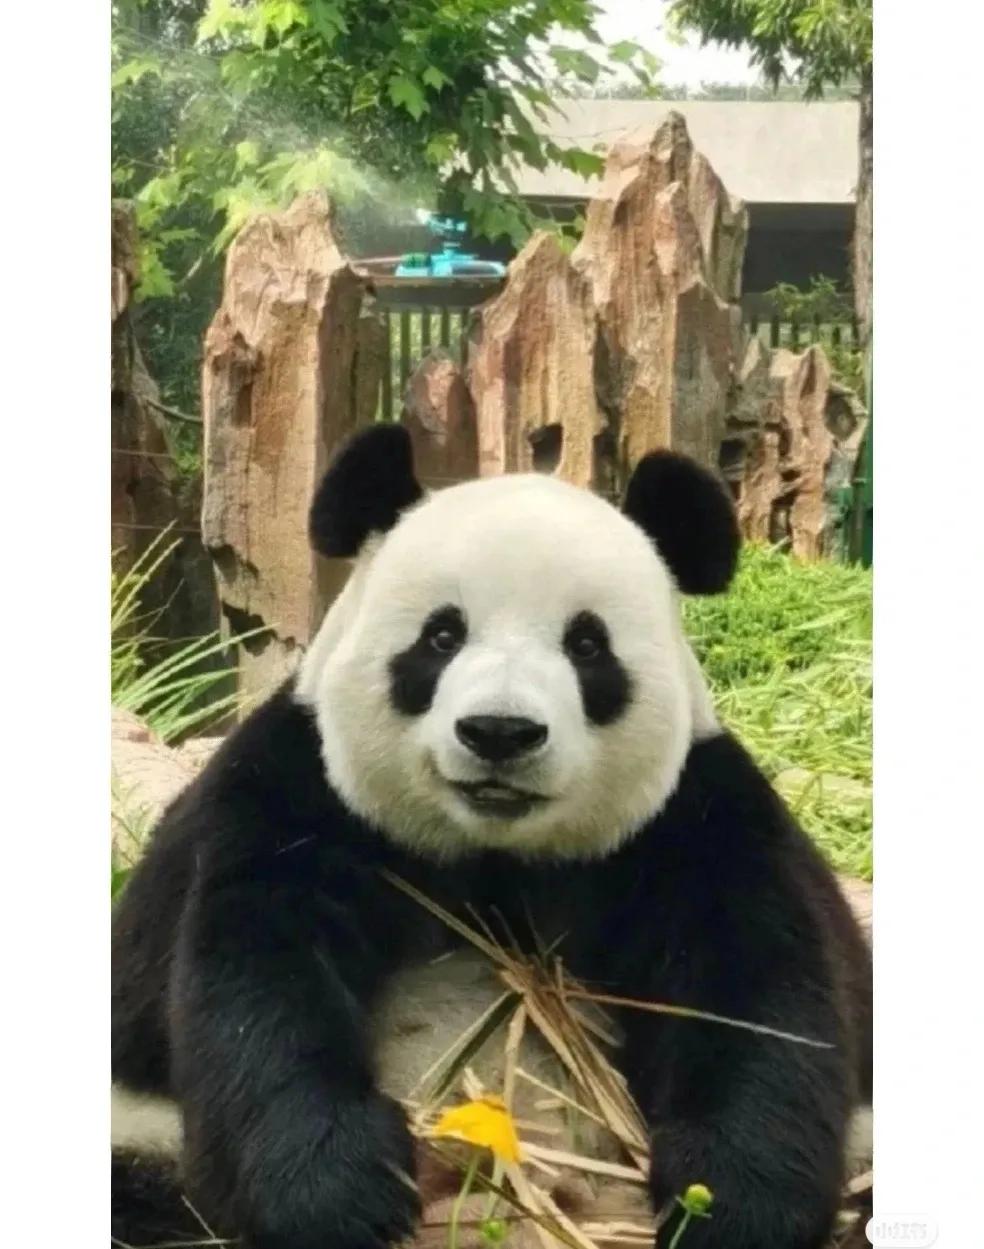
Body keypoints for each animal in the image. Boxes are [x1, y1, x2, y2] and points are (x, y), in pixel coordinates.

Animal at [112, 424, 872, 1249]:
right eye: (441, 635)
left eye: (587, 645)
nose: (500, 732)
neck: (495, 854)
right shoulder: (296, 798)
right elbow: (258, 983)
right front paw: (339, 1191)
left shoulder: (692, 821)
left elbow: (755, 989)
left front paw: (727, 1203)